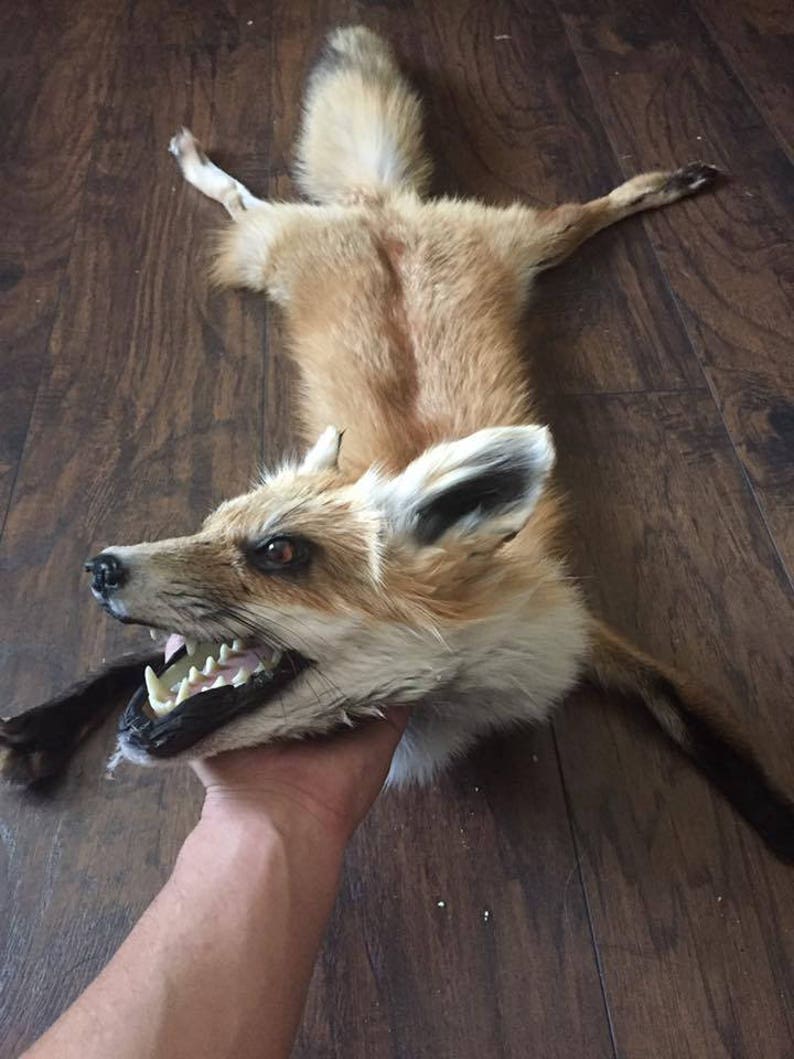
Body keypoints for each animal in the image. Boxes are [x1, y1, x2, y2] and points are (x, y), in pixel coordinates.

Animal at [1, 26, 792, 862]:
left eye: (279, 552)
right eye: (208, 525)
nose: (101, 566)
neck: (455, 688)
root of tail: (379, 211)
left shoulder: (585, 629)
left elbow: (693, 715)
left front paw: (778, 819)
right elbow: (134, 663)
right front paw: (47, 724)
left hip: (514, 245)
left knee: (579, 211)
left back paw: (669, 179)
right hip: (277, 253)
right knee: (247, 200)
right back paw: (197, 160)